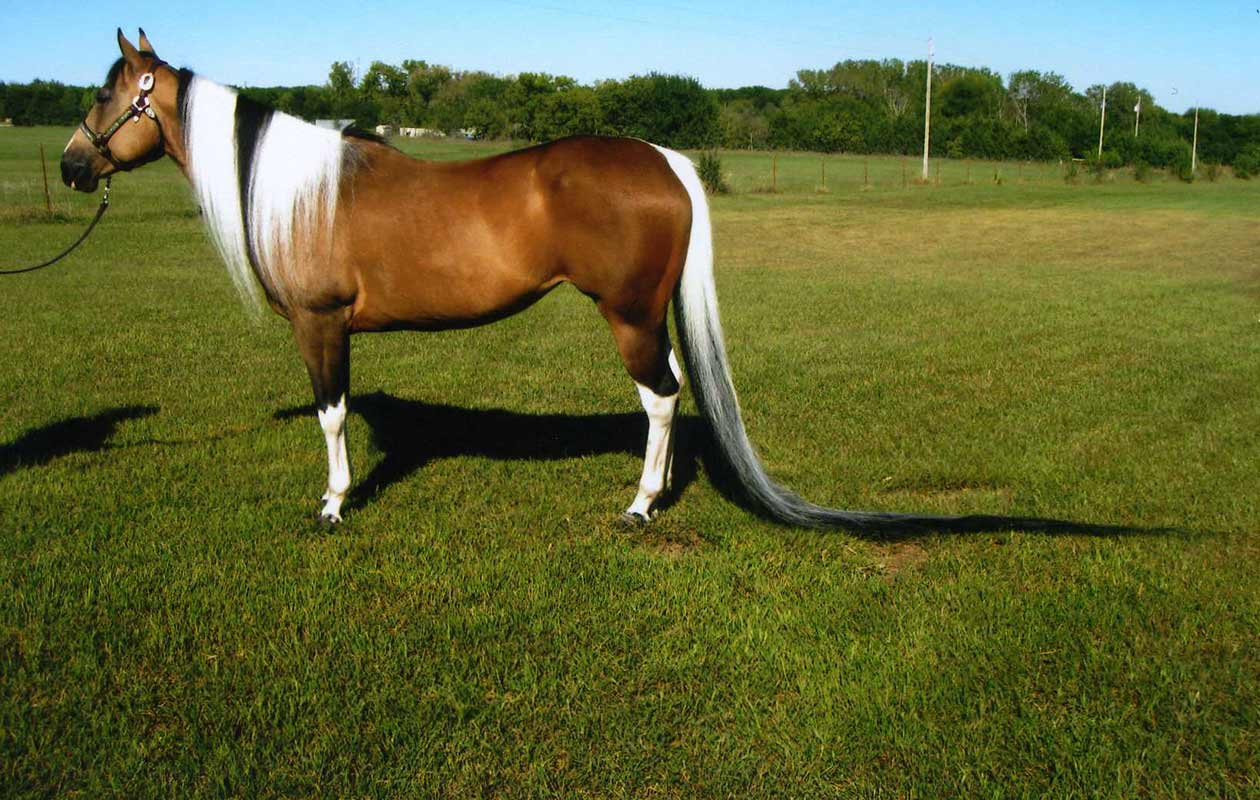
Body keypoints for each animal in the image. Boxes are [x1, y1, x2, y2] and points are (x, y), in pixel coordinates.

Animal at [62, 30, 1067, 534]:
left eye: (109, 95)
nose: (73, 164)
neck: (301, 190)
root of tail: (663, 158)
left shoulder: (323, 326)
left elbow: (332, 417)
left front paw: (335, 505)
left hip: (628, 318)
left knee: (660, 399)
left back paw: (639, 507)